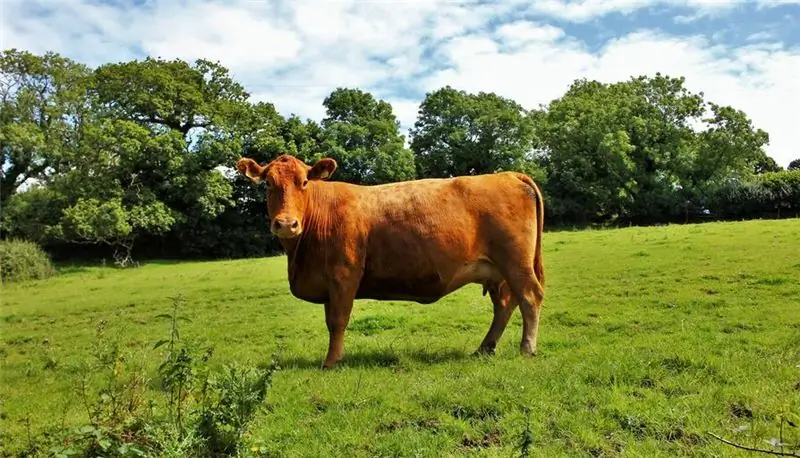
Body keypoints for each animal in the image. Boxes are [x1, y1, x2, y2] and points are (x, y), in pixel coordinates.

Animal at [234, 154, 548, 368]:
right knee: (505, 304)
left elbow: (338, 320)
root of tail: (508, 175)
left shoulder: (344, 275)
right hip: (496, 271)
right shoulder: (327, 282)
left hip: (516, 263)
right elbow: (330, 320)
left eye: (304, 182)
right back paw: (484, 348)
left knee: (530, 297)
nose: (286, 224)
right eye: (267, 184)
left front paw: (331, 362)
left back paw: (527, 348)